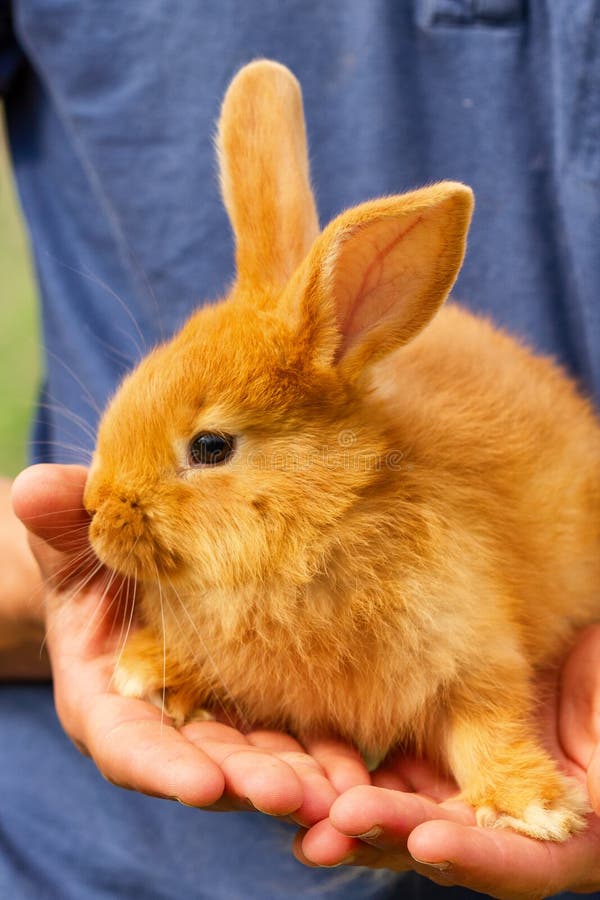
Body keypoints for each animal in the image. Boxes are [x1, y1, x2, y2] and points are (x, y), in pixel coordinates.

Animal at [83, 59, 600, 842]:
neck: (322, 525)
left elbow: (489, 726)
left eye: (210, 446)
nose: (95, 512)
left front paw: (535, 808)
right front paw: (147, 670)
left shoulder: (473, 651)